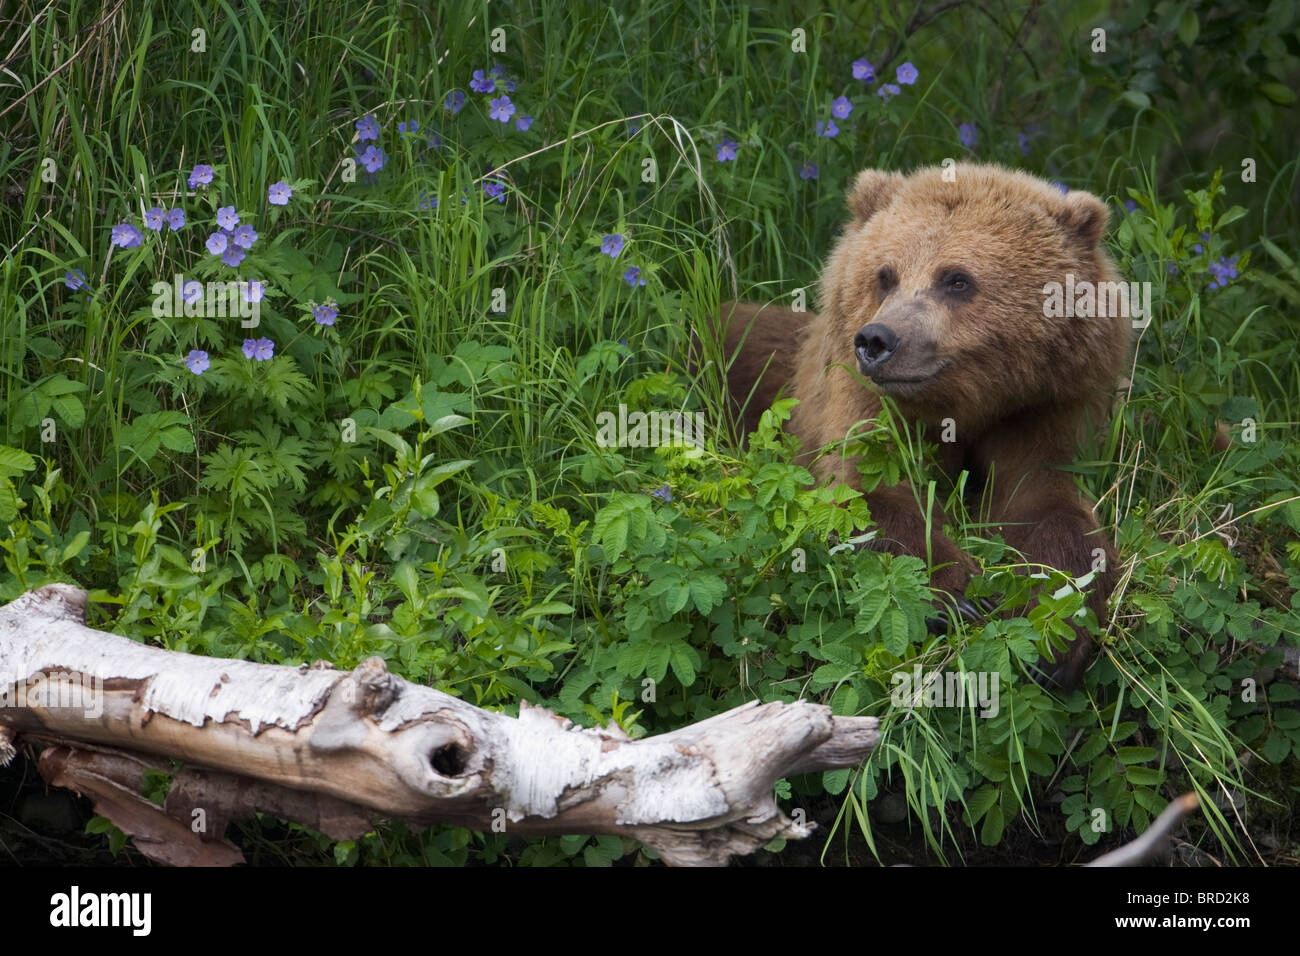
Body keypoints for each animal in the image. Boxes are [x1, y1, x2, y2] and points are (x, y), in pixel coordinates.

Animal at [715, 163, 1131, 689]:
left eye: (956, 279)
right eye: (884, 275)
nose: (877, 339)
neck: (966, 403)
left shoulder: (1041, 407)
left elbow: (1047, 503)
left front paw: (1053, 632)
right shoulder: (865, 403)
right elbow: (868, 494)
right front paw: (960, 597)